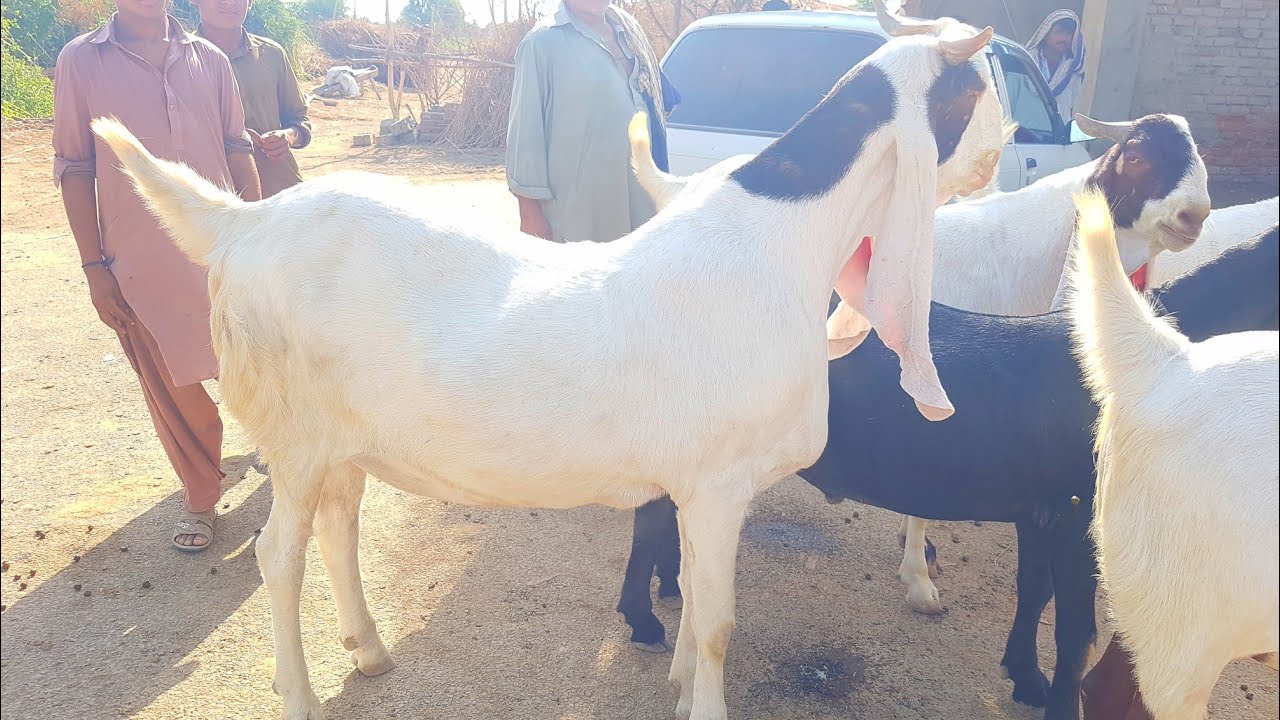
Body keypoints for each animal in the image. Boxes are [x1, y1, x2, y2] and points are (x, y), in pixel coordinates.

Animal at [89, 4, 1005, 718]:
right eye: (981, 91)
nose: (1002, 159)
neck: (784, 239)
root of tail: (240, 225)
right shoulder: (719, 482)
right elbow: (717, 623)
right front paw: (701, 694)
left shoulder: (693, 486)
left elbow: (693, 597)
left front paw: (676, 682)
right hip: (296, 436)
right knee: (280, 554)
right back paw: (302, 695)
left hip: (339, 437)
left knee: (339, 524)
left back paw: (371, 650)